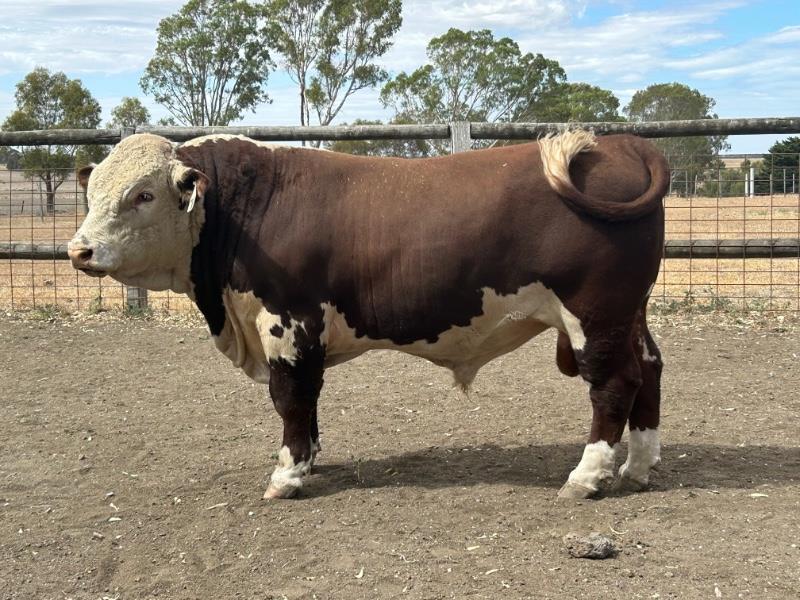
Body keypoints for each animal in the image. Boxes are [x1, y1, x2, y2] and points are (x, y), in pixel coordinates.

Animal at [68, 130, 668, 501]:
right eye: (93, 192)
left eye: (143, 194)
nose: (79, 250)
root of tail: (621, 143)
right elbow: (307, 401)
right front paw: (309, 458)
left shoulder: (287, 323)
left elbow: (290, 397)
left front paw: (287, 474)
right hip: (629, 313)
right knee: (648, 369)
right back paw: (638, 466)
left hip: (595, 313)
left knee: (613, 385)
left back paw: (587, 477)